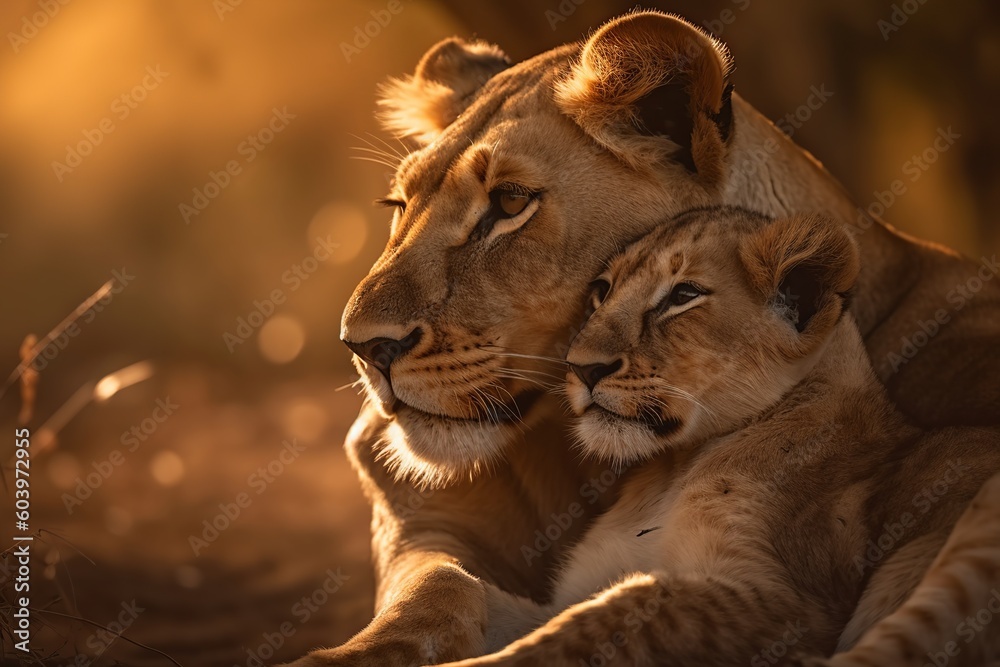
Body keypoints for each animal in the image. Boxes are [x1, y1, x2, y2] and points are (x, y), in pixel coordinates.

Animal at [426, 207, 1000, 666]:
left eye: (683, 296)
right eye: (602, 291)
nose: (581, 368)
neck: (675, 469)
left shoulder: (784, 602)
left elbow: (616, 613)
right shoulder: (578, 584)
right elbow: (473, 592)